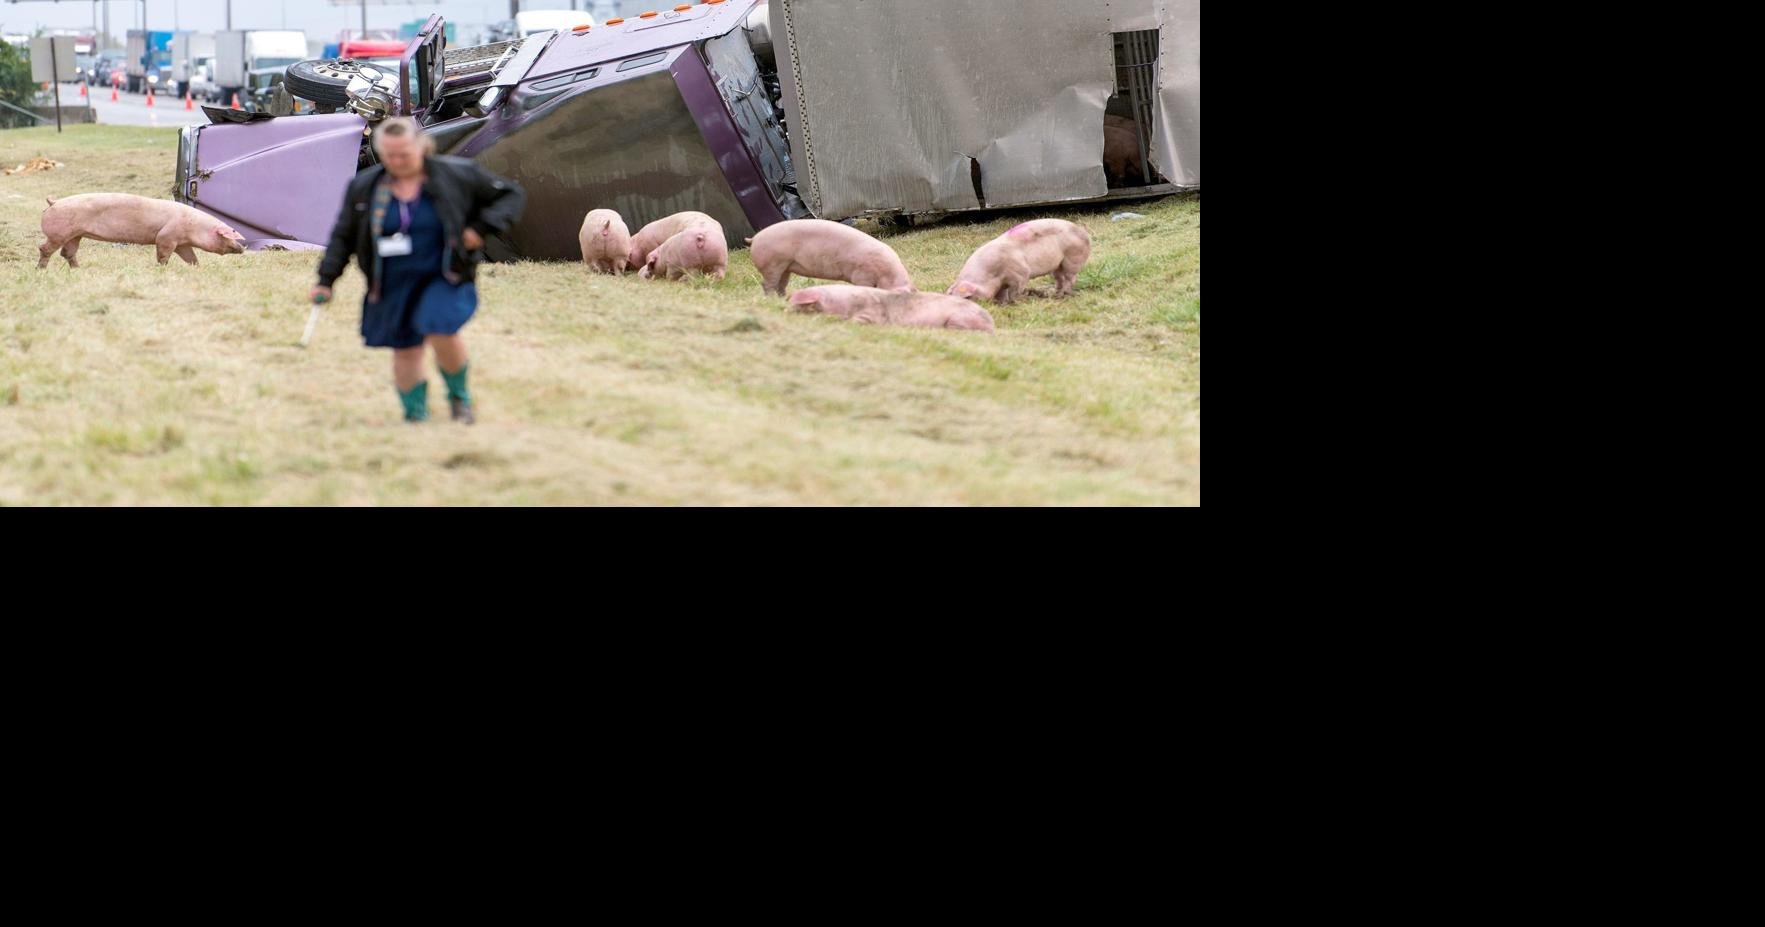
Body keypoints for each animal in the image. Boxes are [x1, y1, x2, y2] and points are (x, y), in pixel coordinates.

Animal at [38, 193, 246, 269]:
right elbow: (163, 254)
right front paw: (162, 269)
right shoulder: (167, 236)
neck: (193, 226)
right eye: (229, 235)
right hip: (58, 233)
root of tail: (53, 202)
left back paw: (78, 269)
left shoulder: (182, 243)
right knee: (45, 248)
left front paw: (197, 267)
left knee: (67, 252)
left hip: (75, 235)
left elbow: (191, 257)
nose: (243, 247)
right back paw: (41, 269)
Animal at [747, 219, 914, 296]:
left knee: (780, 285)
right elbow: (863, 286)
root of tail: (755, 238)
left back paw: (784, 298)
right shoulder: (862, 275)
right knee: (767, 284)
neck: (886, 272)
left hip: (785, 267)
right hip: (772, 265)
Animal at [947, 219, 1092, 304]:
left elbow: (1015, 290)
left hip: (1073, 258)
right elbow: (1002, 292)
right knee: (1059, 278)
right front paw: (1001, 303)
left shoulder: (1021, 273)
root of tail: (1084, 233)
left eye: (967, 298)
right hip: (1058, 265)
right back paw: (1053, 293)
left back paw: (1061, 295)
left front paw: (1015, 302)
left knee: (1070, 278)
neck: (991, 275)